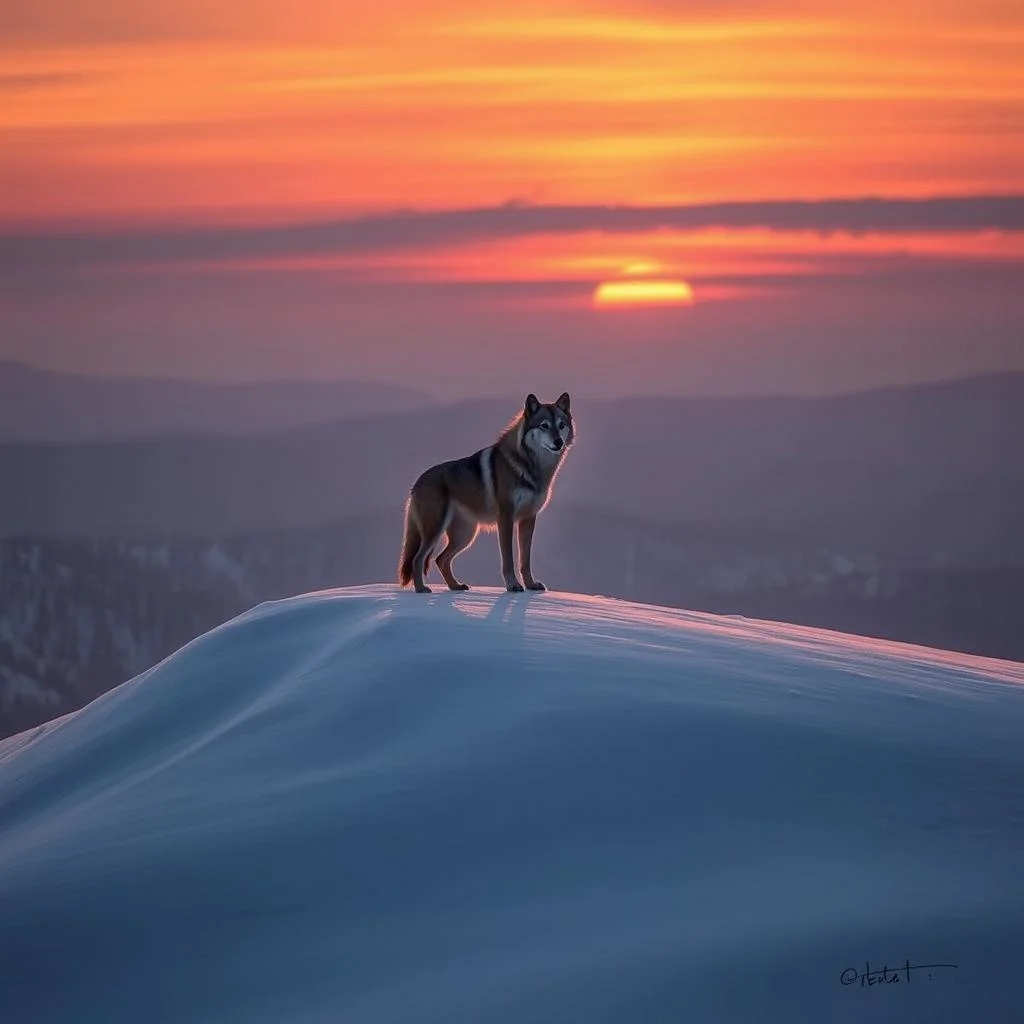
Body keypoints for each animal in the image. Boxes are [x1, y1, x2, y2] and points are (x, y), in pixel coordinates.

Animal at [398, 392, 575, 593]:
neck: (531, 467)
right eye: (544, 425)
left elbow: (525, 560)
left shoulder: (528, 518)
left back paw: (455, 586)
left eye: (561, 425)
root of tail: (416, 483)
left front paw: (530, 585)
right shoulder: (505, 517)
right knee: (417, 559)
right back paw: (421, 589)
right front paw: (513, 585)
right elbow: (508, 559)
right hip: (435, 531)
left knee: (440, 559)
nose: (558, 442)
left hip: (465, 535)